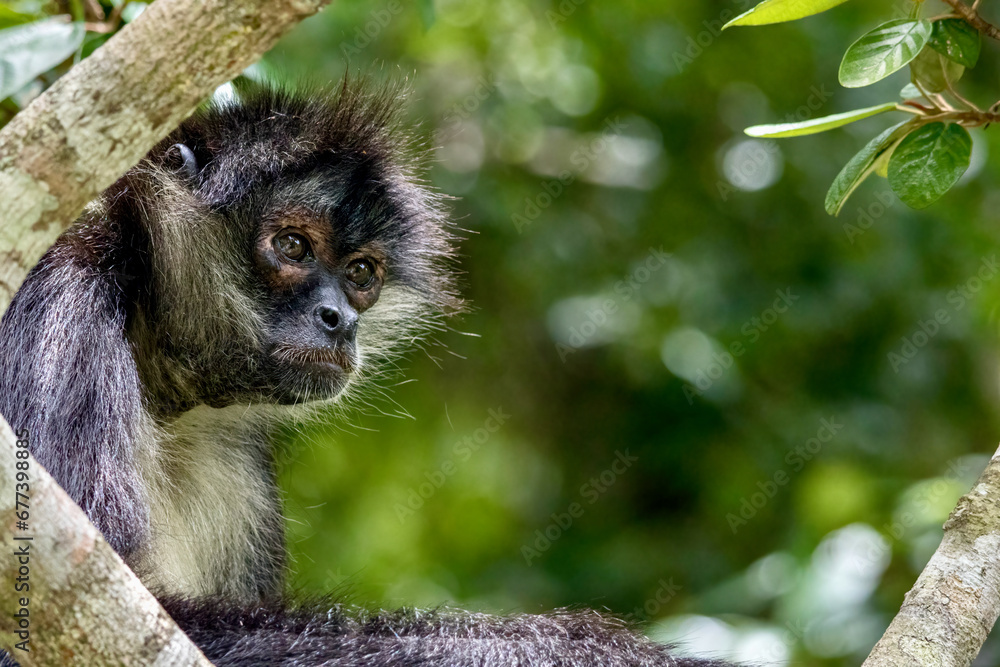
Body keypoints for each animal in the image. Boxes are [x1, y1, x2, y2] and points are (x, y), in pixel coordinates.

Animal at [0, 78, 733, 667]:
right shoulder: (62, 317)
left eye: (361, 273)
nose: (338, 320)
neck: (162, 384)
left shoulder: (229, 447)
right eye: (292, 245)